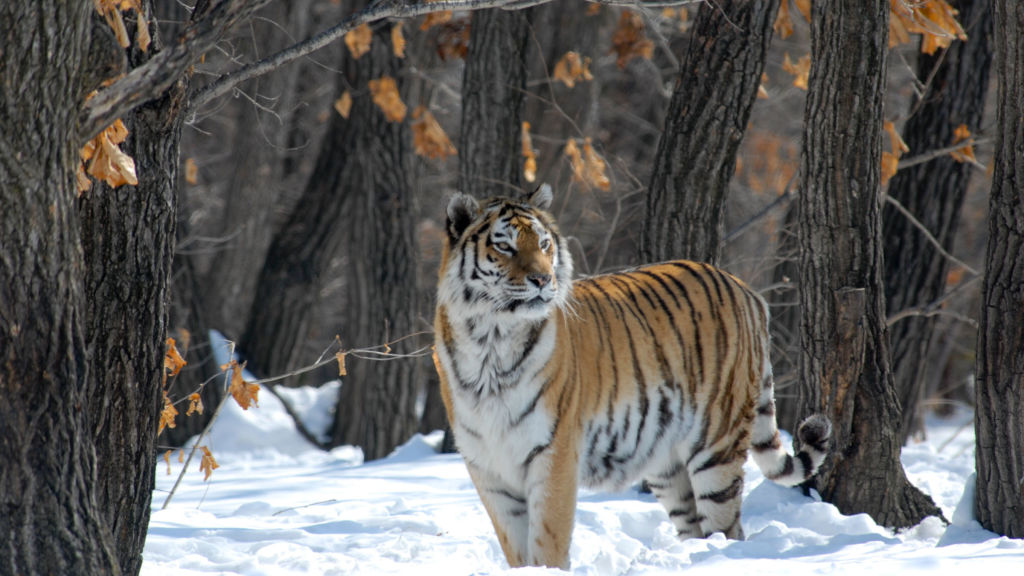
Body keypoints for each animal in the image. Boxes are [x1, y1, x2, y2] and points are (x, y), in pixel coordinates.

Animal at [432, 187, 831, 570]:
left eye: (544, 244)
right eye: (505, 246)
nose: (543, 279)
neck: (490, 341)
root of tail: (745, 289)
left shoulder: (553, 454)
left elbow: (547, 541)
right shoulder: (489, 469)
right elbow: (516, 548)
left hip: (717, 444)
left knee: (728, 527)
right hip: (667, 463)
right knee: (694, 526)